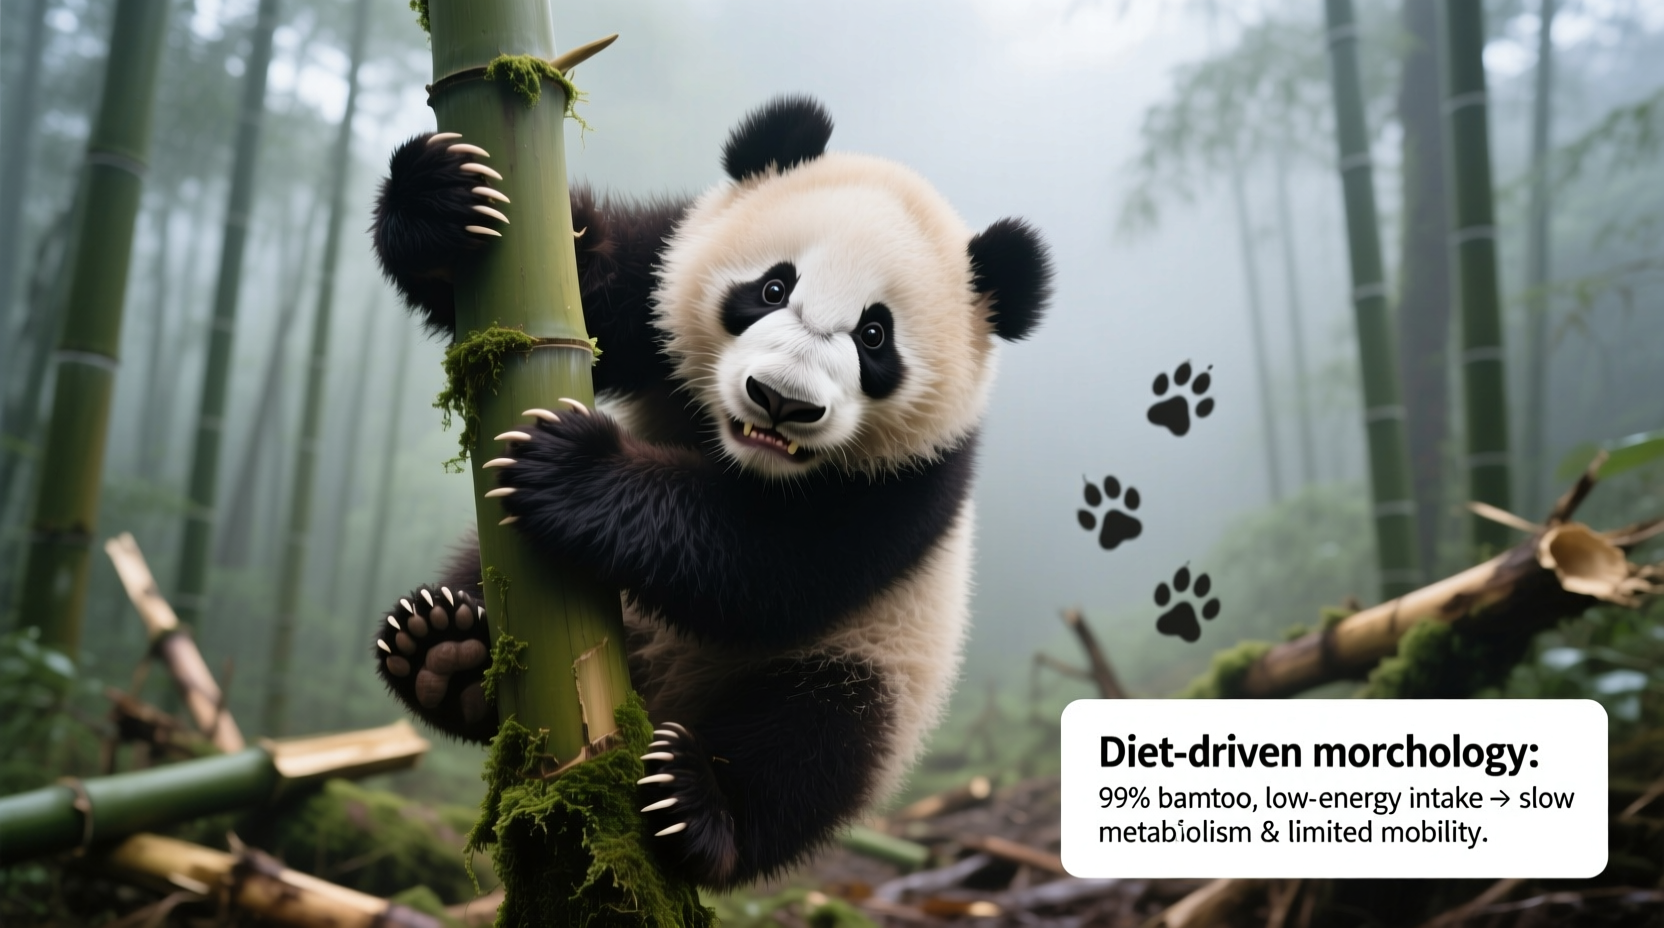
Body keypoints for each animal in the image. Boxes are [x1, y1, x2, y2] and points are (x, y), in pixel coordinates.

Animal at [368, 97, 1052, 888]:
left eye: (874, 336)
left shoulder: (916, 476)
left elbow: (768, 562)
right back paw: (445, 654)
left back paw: (700, 803)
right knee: (482, 577)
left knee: (816, 739)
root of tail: (653, 695)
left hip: (874, 659)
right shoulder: (662, 272)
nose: (781, 400)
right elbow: (593, 278)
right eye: (772, 288)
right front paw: (445, 198)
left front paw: (572, 469)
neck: (737, 450)